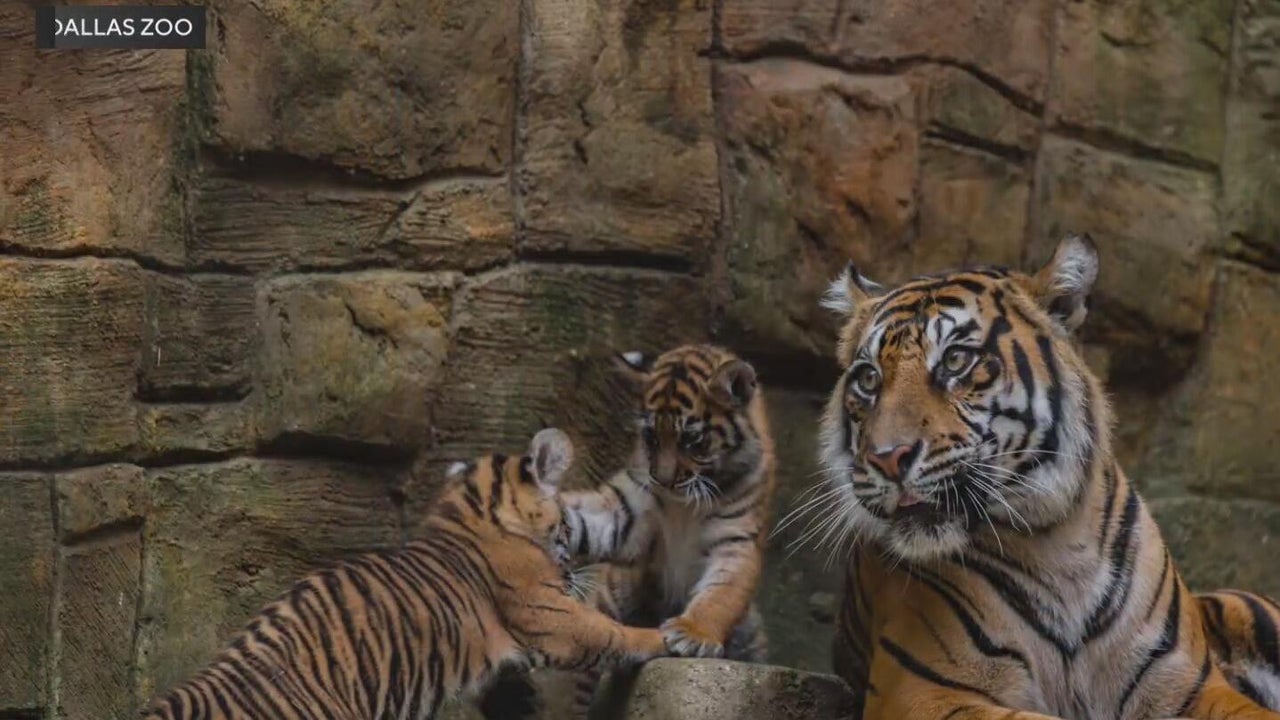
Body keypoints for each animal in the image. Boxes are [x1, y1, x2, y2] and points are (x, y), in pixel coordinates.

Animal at [139, 429, 670, 720]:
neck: (471, 510)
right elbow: (608, 630)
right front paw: (668, 637)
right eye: (565, 518)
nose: (576, 576)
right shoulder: (549, 615)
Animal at [483, 344, 777, 717]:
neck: (684, 503)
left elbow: (722, 593)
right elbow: (582, 516)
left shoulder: (735, 539)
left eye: (692, 439)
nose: (663, 479)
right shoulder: (626, 513)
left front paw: (693, 632)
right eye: (651, 436)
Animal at [816, 233, 1280, 720]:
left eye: (956, 360)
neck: (1056, 543)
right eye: (869, 378)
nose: (887, 458)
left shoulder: (1189, 683)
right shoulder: (922, 692)